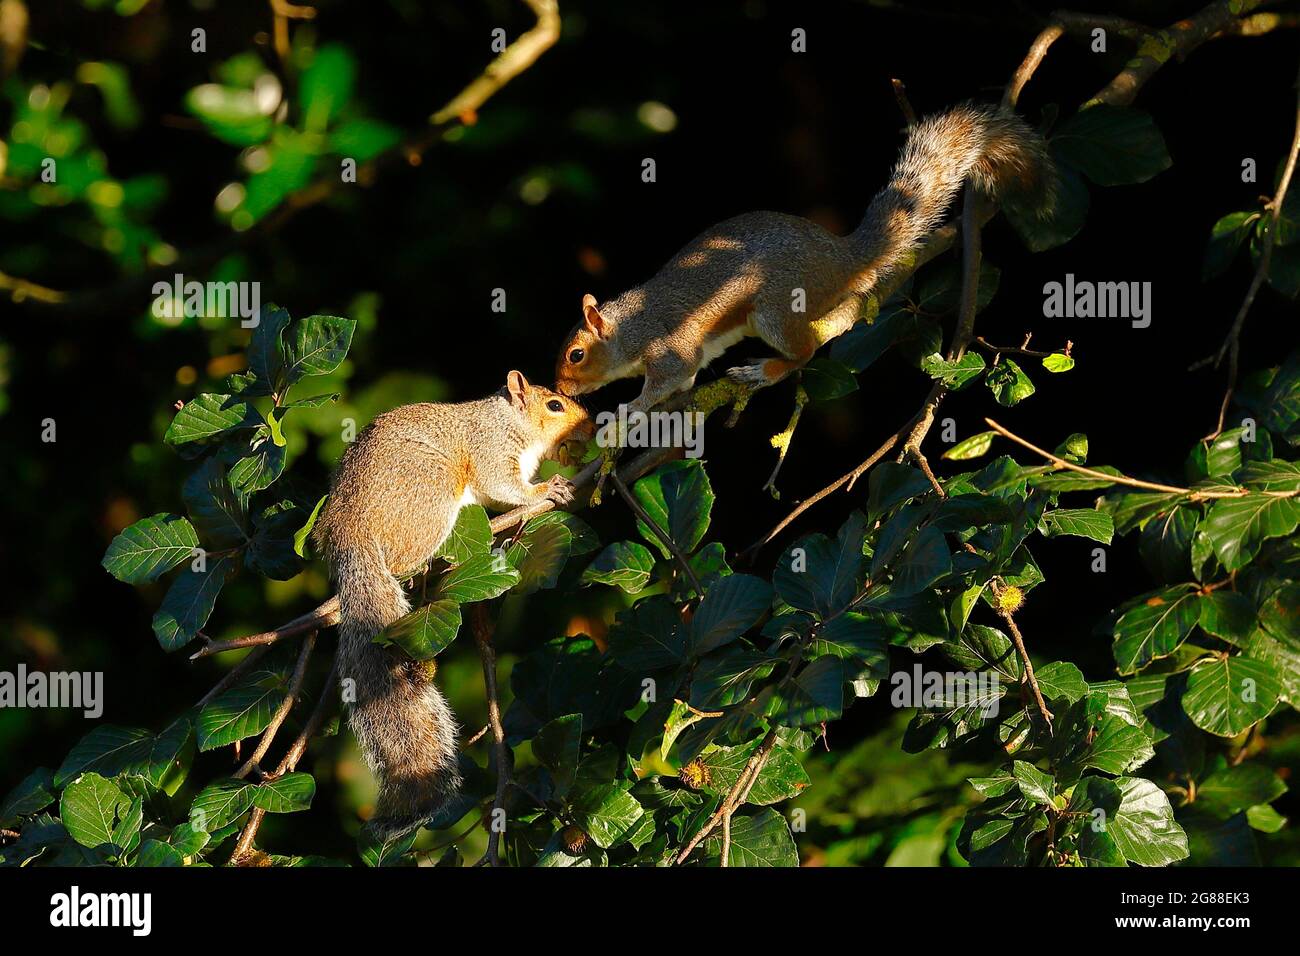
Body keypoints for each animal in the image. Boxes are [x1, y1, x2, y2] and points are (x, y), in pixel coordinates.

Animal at [312, 370, 594, 841]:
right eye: (554, 405)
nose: (591, 428)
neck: (507, 419)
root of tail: (347, 530)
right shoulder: (491, 450)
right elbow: (503, 486)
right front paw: (546, 488)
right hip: (430, 493)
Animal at [554, 104, 1055, 410]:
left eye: (576, 354)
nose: (559, 388)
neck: (629, 327)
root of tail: (843, 257)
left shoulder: (666, 343)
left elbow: (667, 375)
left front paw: (632, 407)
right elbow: (687, 377)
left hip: (777, 307)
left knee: (806, 350)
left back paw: (767, 368)